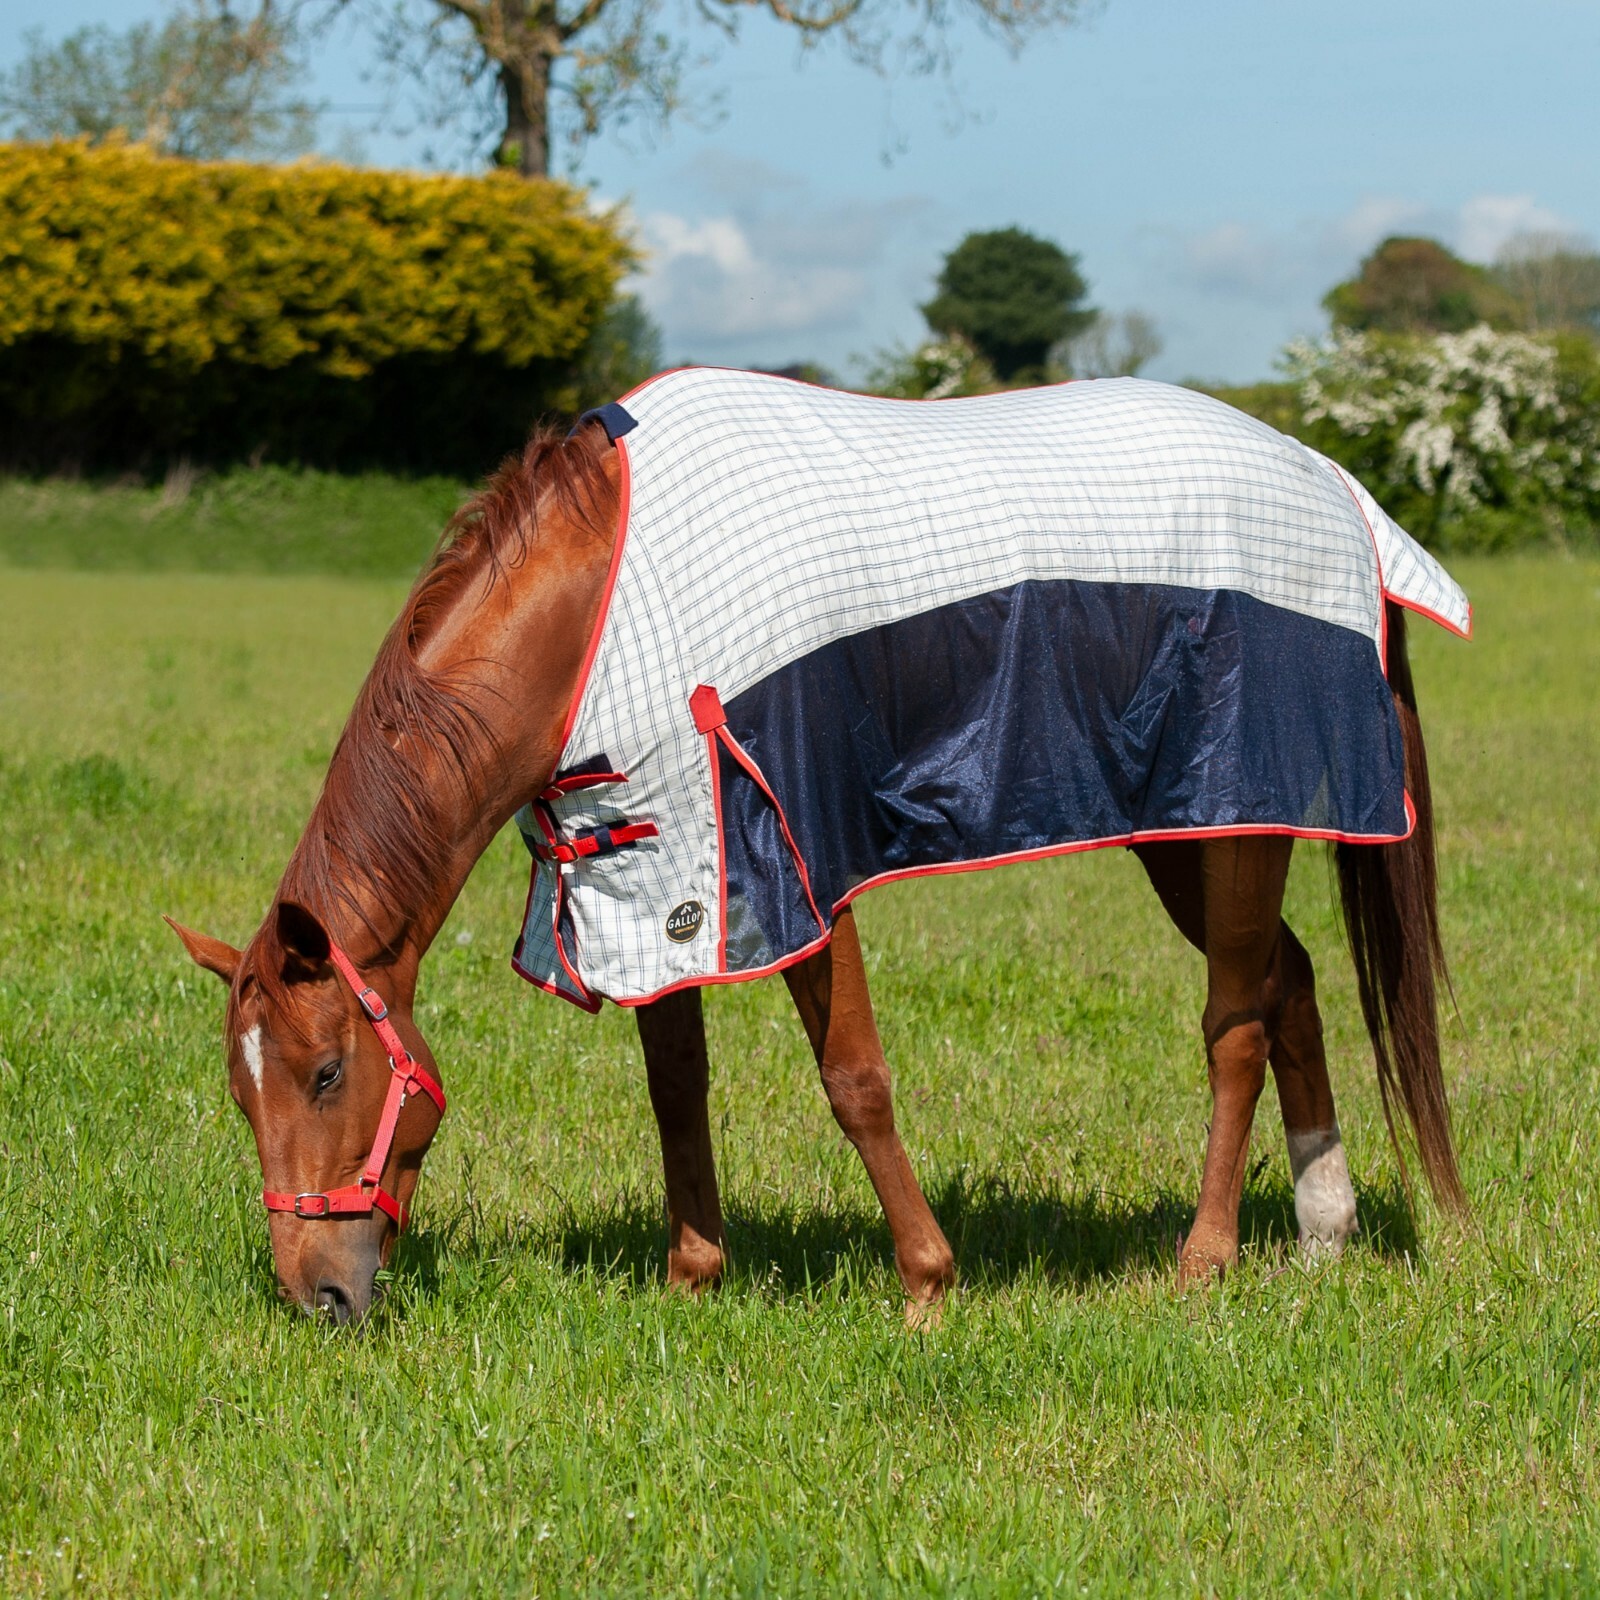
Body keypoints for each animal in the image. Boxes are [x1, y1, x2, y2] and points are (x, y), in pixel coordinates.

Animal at [168, 370, 1470, 1325]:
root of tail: (1332, 486)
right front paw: (693, 1277)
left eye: (325, 1073)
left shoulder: (790, 854)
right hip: (1184, 828)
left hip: (1239, 811)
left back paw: (1205, 1258)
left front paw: (927, 1286)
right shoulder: (653, 877)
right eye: (241, 1090)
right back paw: (1320, 1230)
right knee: (1288, 978)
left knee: (1234, 1021)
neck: (599, 603)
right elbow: (675, 1085)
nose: (319, 1295)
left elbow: (853, 1079)